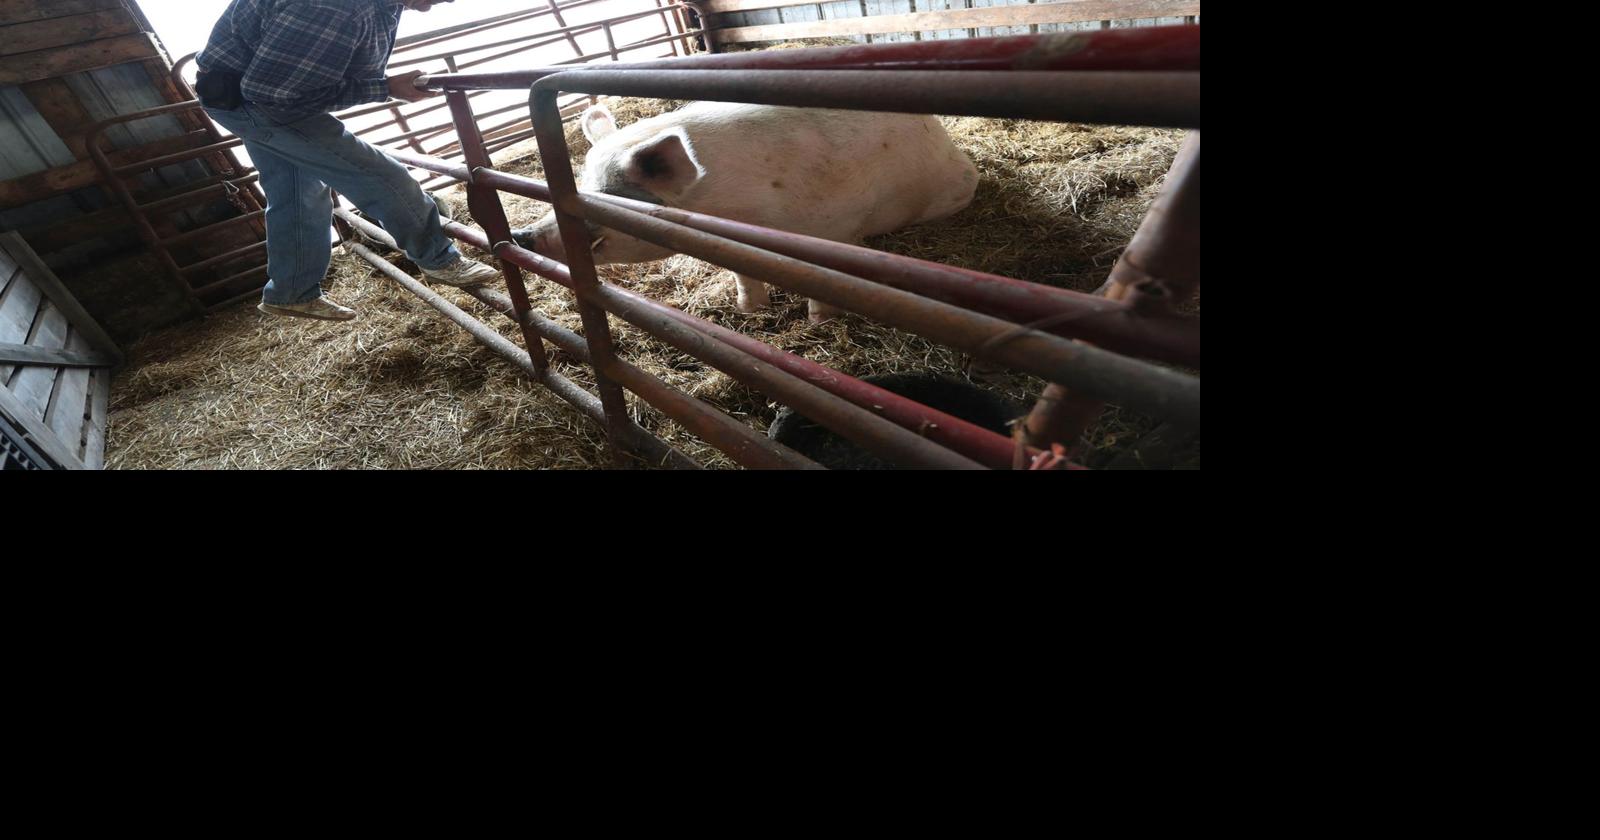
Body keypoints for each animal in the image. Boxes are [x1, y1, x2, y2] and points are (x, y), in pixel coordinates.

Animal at [511, 101, 979, 322]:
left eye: (607, 193)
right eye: (581, 183)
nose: (521, 235)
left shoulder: (834, 227)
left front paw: (818, 322)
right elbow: (744, 275)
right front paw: (749, 311)